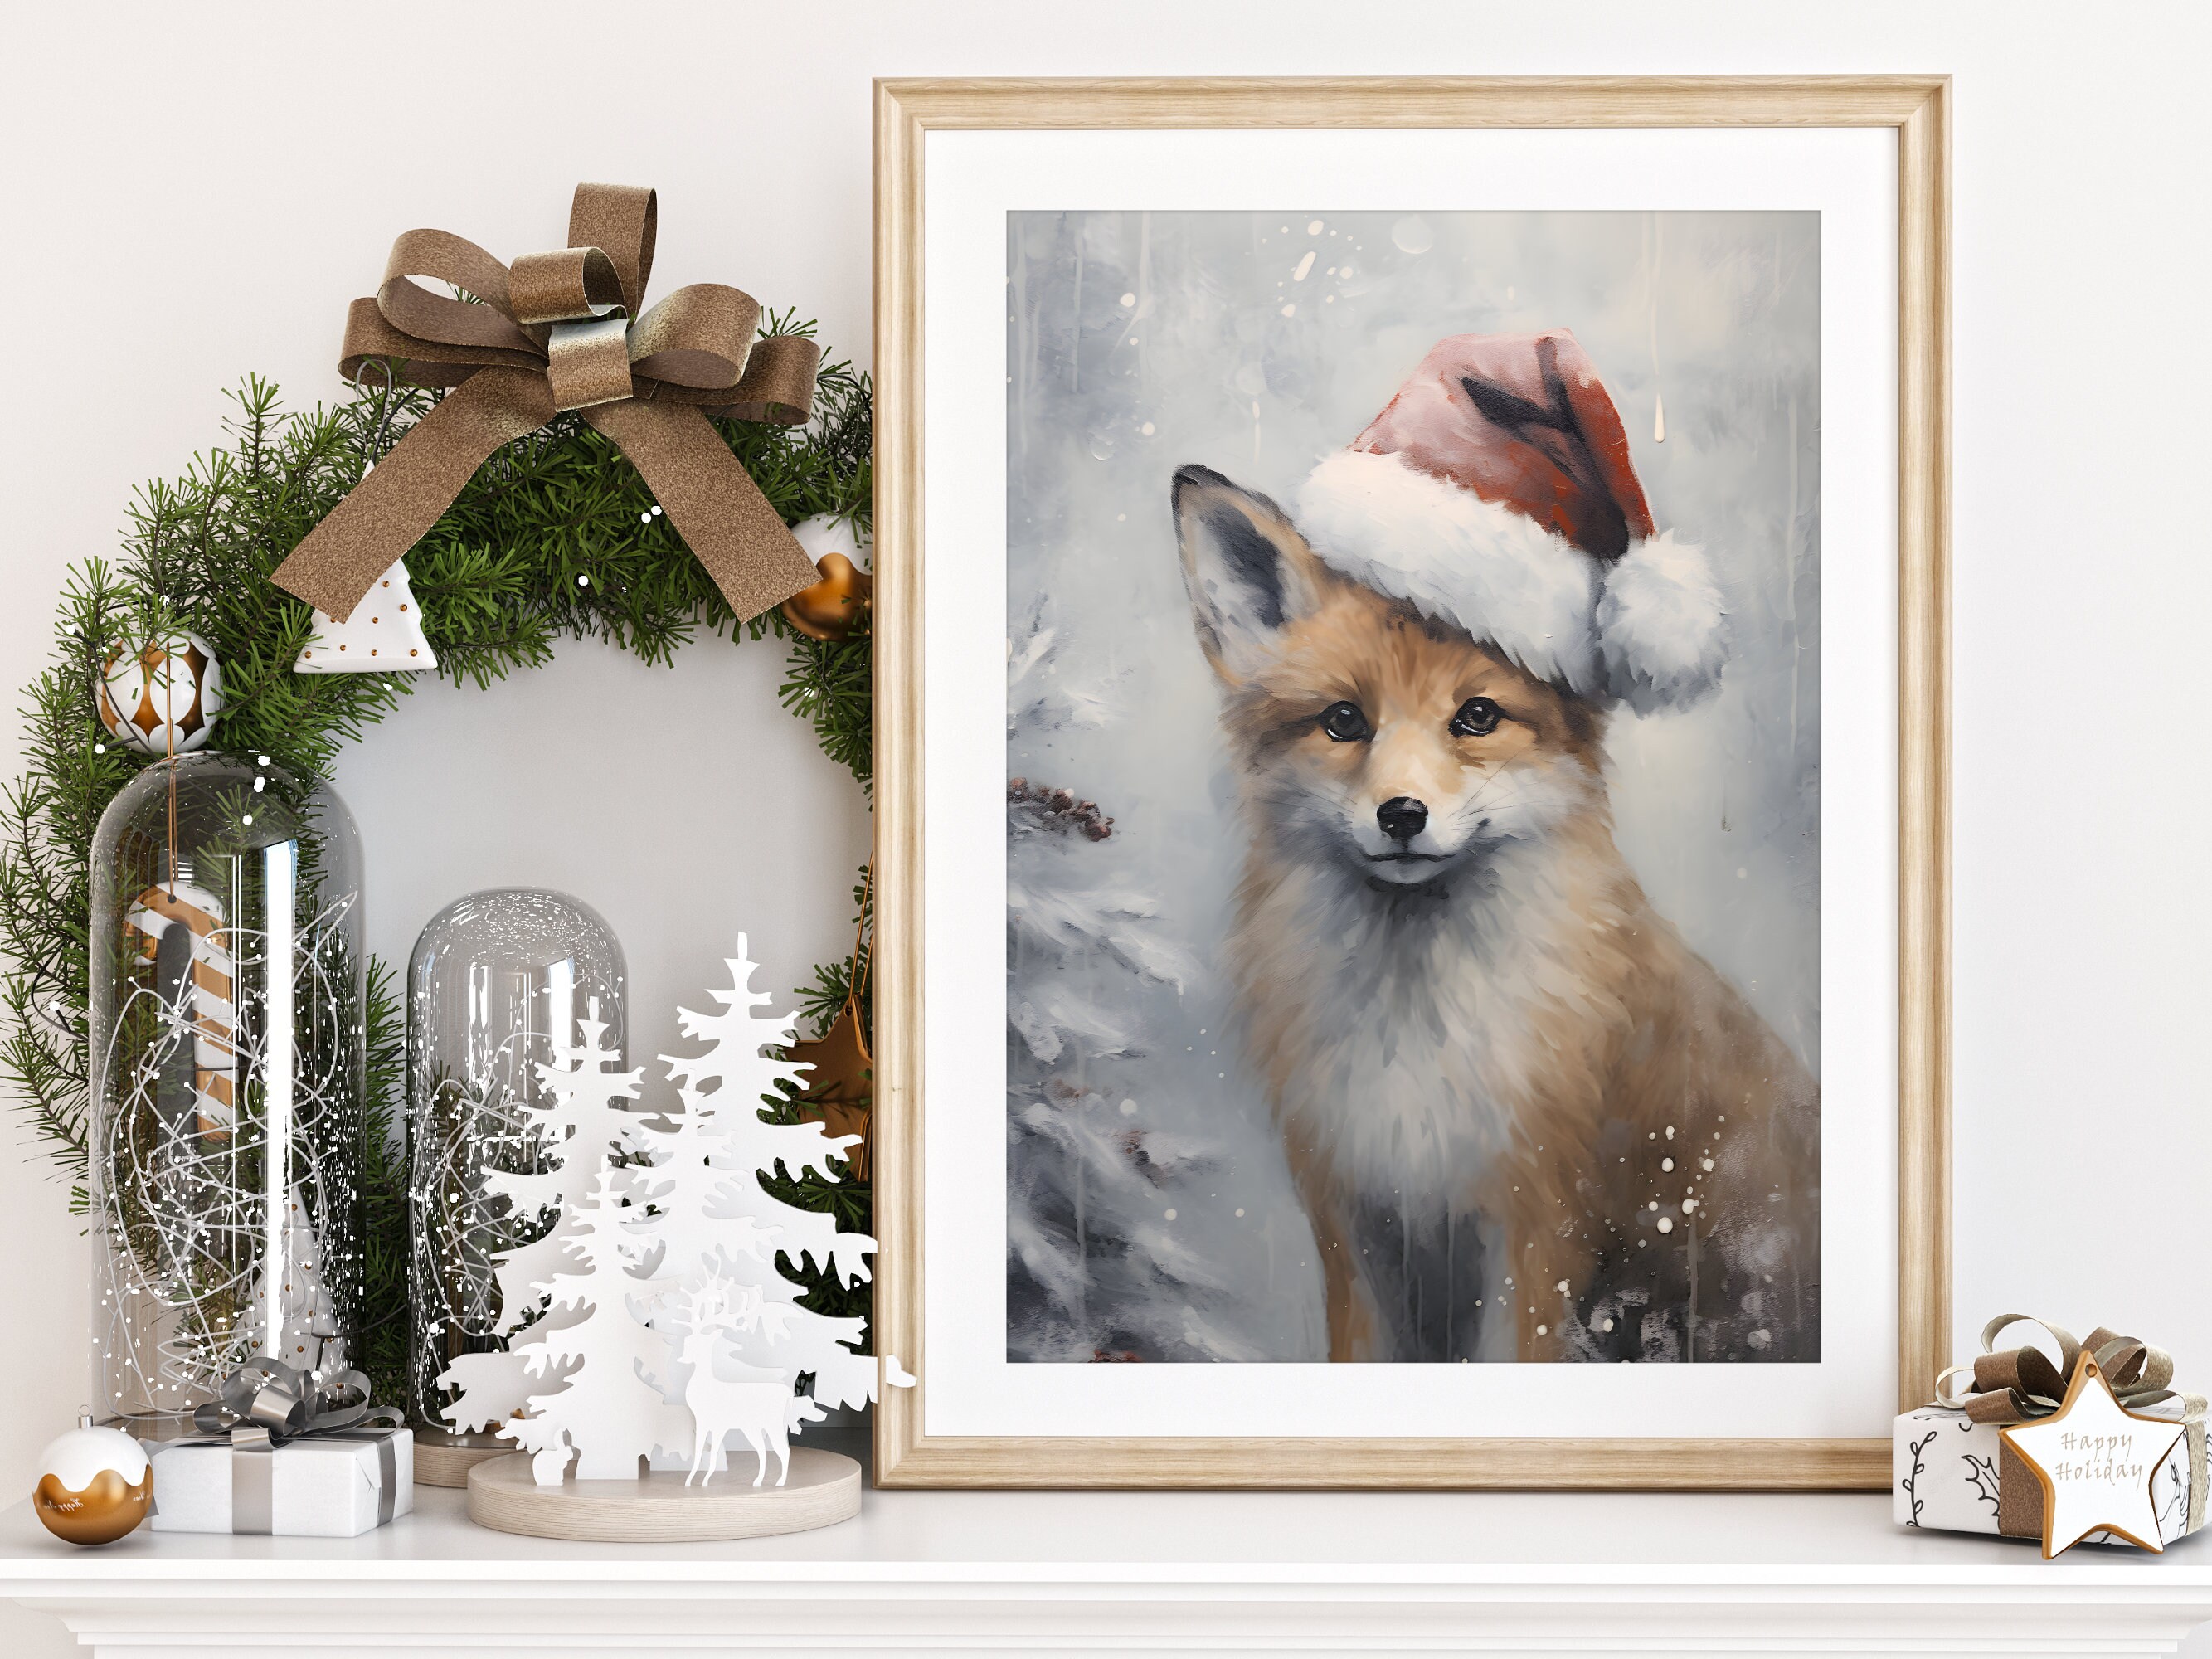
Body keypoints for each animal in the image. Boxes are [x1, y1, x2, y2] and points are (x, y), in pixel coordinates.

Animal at [1171, 461, 1819, 1365]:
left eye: (1477, 715)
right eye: (1343, 720)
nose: (1401, 815)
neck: (1415, 1032)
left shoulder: (1533, 1219)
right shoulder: (1354, 1217)